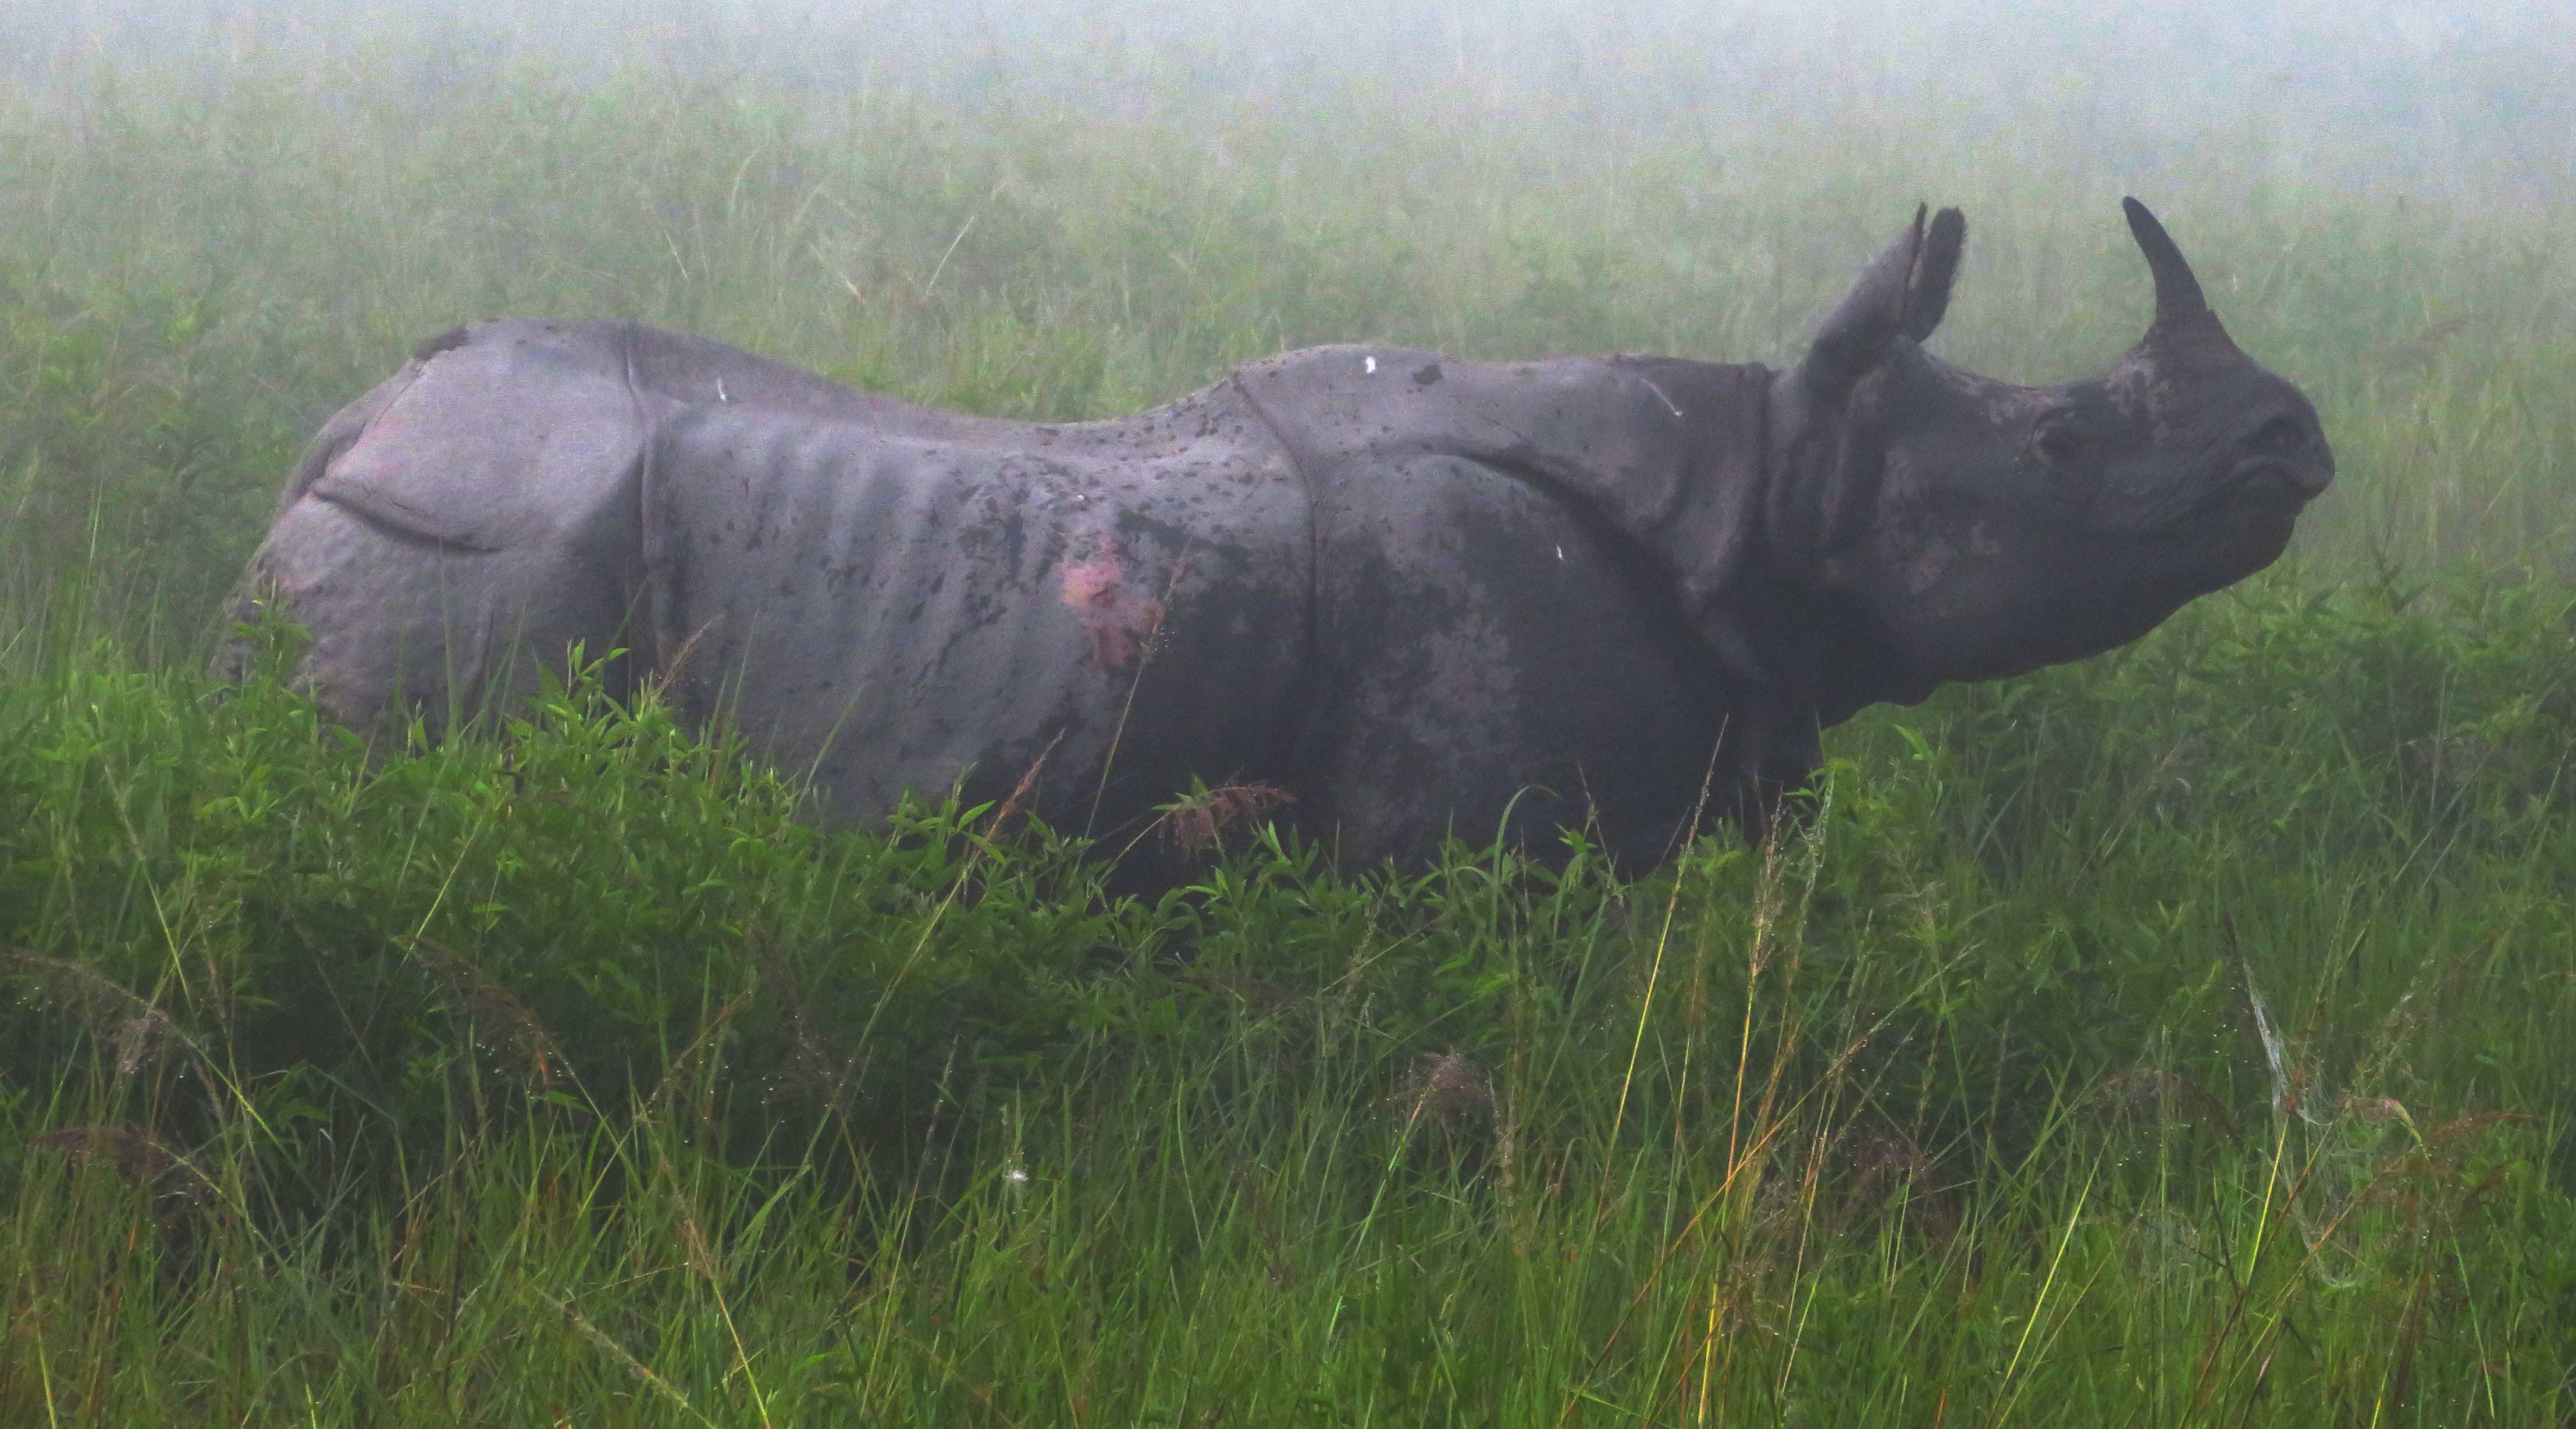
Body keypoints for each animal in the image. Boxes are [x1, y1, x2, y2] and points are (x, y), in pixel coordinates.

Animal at [221, 200, 2331, 877]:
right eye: (2064, 443)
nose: (2292, 444)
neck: (1763, 474)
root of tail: (347, 424)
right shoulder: (1456, 836)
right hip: (473, 551)